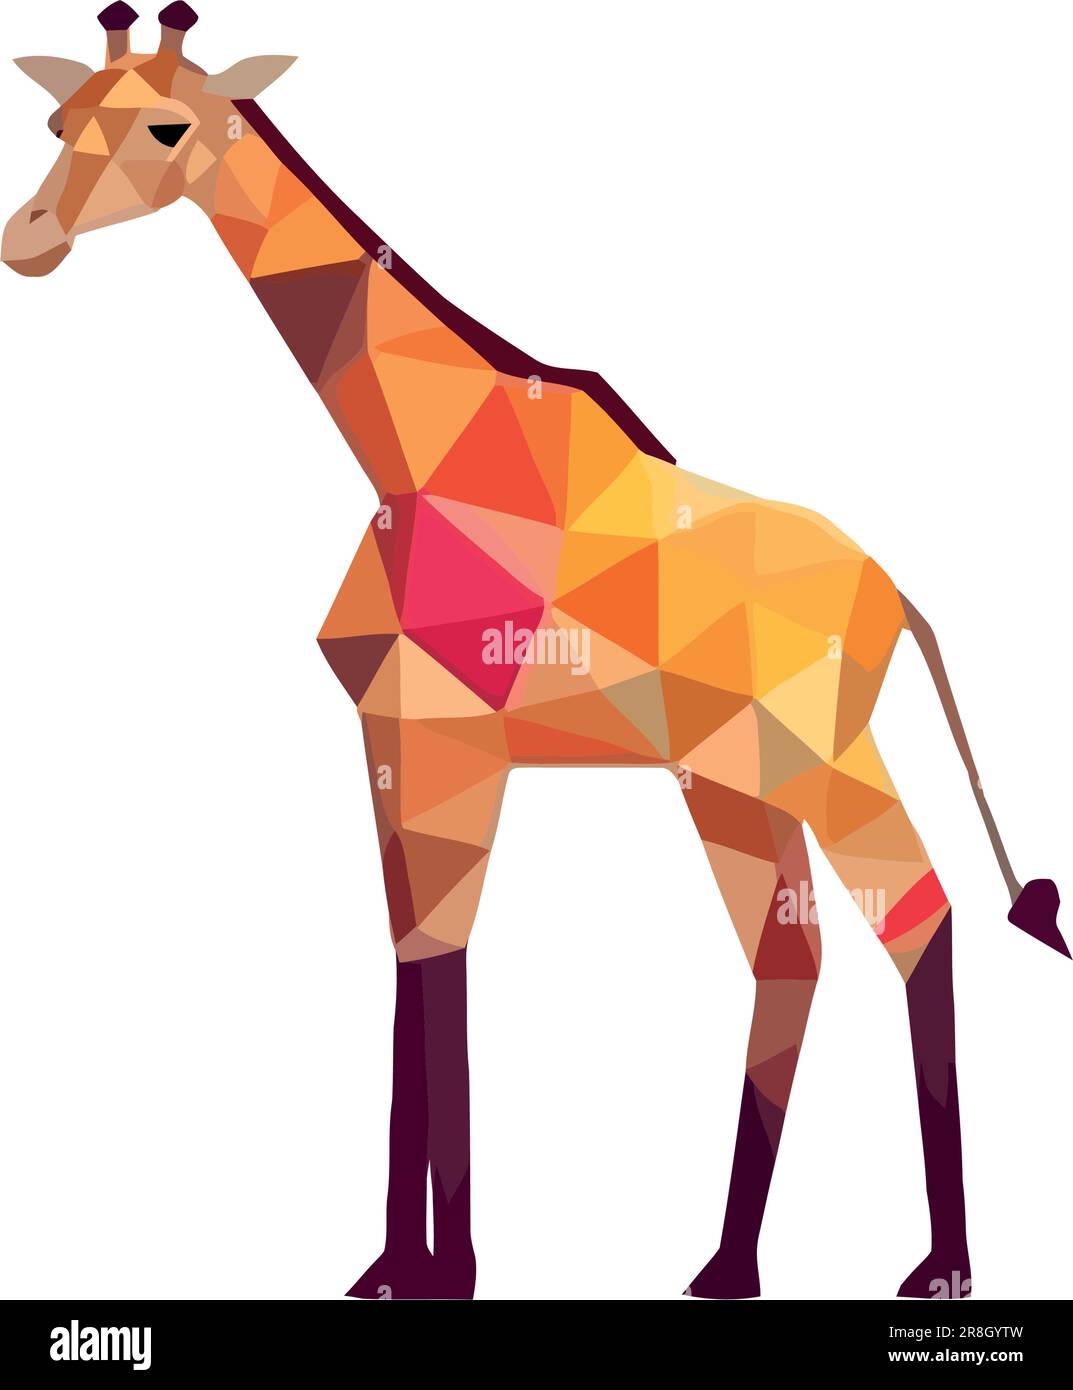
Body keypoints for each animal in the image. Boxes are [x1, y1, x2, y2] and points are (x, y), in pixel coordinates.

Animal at [3, 5, 1066, 1302]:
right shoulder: (390, 738)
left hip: (822, 754)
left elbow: (444, 961)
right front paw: (385, 1265)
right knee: (790, 950)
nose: (27, 242)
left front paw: (448, 1269)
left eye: (167, 125)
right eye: (54, 120)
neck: (409, 452)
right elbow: (409, 957)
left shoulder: (459, 746)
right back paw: (726, 1263)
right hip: (730, 780)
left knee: (913, 912)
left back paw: (942, 1264)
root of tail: (894, 594)